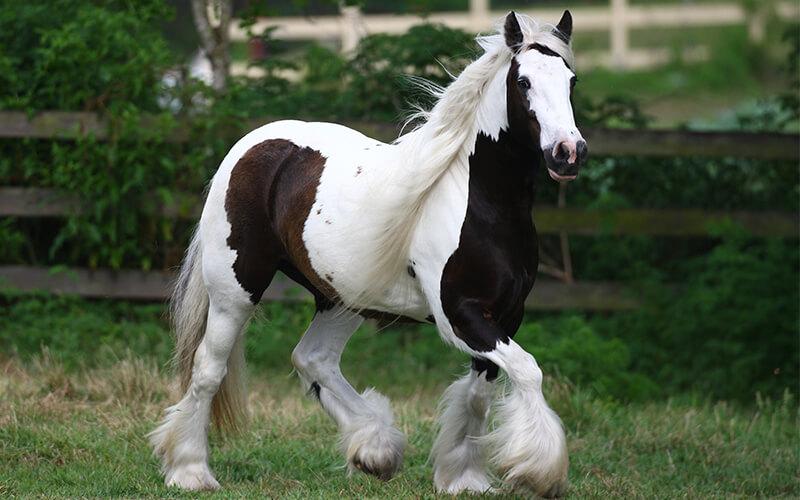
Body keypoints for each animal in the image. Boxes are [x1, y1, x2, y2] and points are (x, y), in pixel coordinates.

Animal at [148, 10, 587, 497]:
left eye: (570, 80)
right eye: (523, 81)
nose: (568, 153)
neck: (481, 204)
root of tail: (250, 145)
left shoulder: (504, 317)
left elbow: (478, 394)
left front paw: (464, 477)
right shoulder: (461, 316)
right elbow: (528, 371)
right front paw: (540, 471)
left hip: (341, 299)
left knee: (313, 359)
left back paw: (375, 450)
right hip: (234, 292)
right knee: (208, 370)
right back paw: (190, 471)